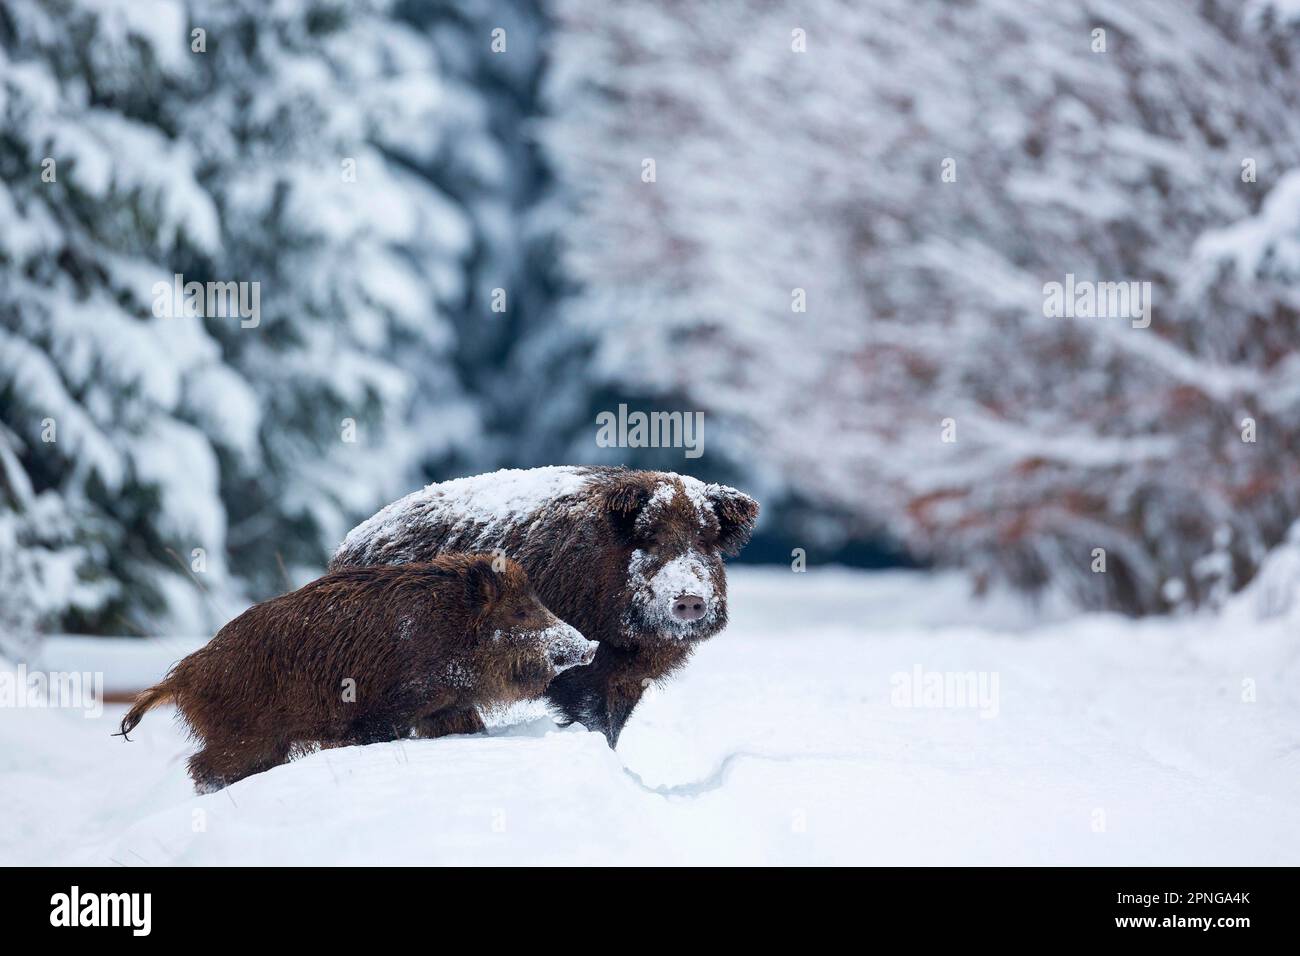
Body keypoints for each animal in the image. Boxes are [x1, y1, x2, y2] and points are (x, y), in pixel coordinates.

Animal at [116, 554, 597, 791]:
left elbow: (468, 727)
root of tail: (185, 674)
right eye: (520, 612)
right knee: (203, 767)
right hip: (246, 735)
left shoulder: (444, 709)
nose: (590, 647)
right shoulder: (384, 712)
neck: (451, 631)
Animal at [331, 466, 759, 745]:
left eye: (706, 539)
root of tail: (344, 548)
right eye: (649, 536)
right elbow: (595, 721)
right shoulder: (583, 673)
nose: (689, 598)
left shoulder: (628, 678)